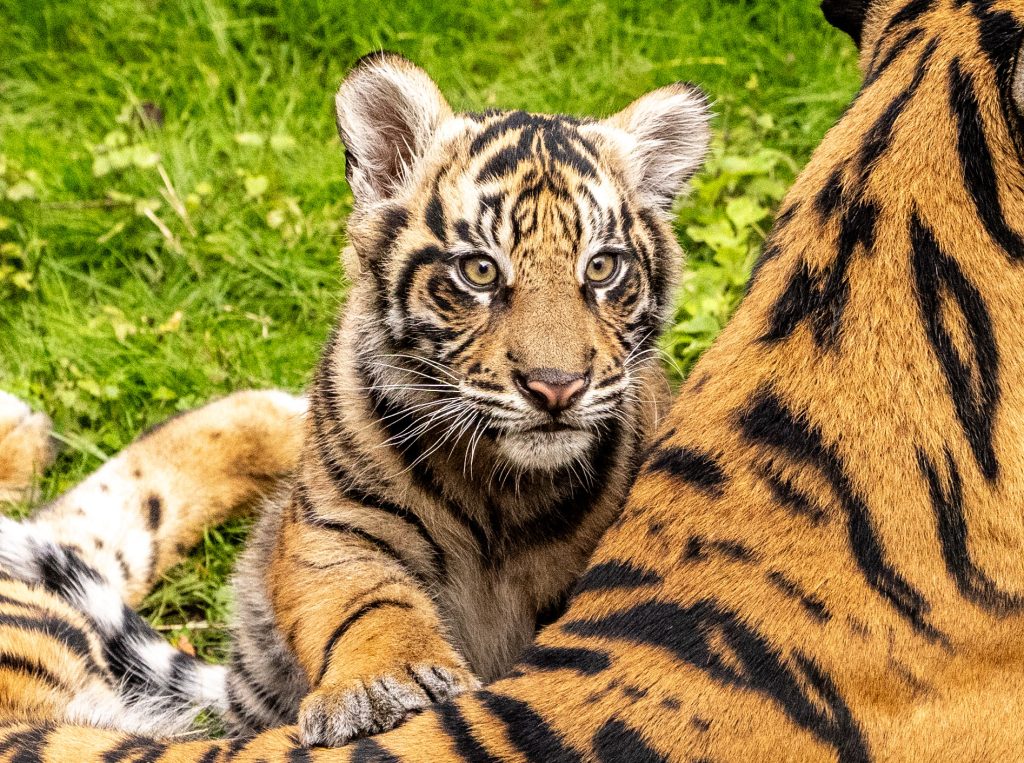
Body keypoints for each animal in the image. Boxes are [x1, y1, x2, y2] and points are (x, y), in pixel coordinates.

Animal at [7, 0, 1024, 758]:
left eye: (603, 269)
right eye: (480, 271)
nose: (555, 386)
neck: (498, 485)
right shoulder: (332, 522)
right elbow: (360, 596)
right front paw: (387, 684)